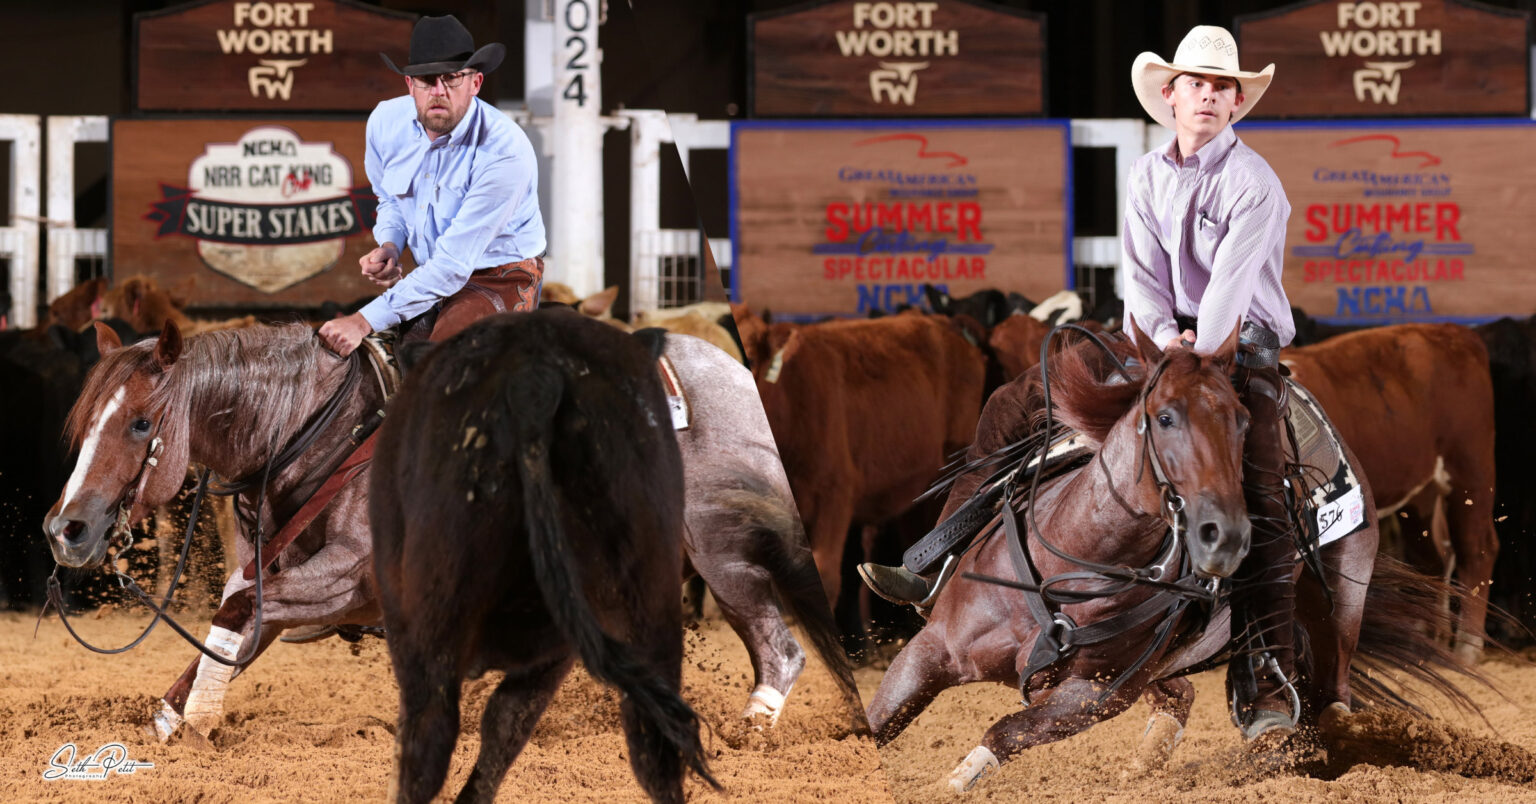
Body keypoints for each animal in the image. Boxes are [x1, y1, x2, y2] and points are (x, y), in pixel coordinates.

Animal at [40, 318, 857, 742]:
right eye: (85, 420)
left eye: (139, 423)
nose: (66, 528)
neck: (326, 433)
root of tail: (736, 373)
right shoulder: (283, 574)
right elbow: (234, 627)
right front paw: (172, 719)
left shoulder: (349, 578)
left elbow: (235, 611)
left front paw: (201, 720)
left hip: (719, 547)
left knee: (780, 646)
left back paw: (750, 726)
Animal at [369, 309, 716, 803]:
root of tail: (535, 377)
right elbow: (506, 726)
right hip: (647, 600)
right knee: (657, 747)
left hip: (428, 617)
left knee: (426, 739)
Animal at [866, 324, 1483, 792]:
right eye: (1165, 418)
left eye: (1242, 423)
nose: (1226, 535)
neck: (1070, 570)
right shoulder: (931, 650)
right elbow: (876, 725)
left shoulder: (1095, 696)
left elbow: (1006, 731)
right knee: (1182, 694)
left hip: (1341, 605)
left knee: (1326, 705)